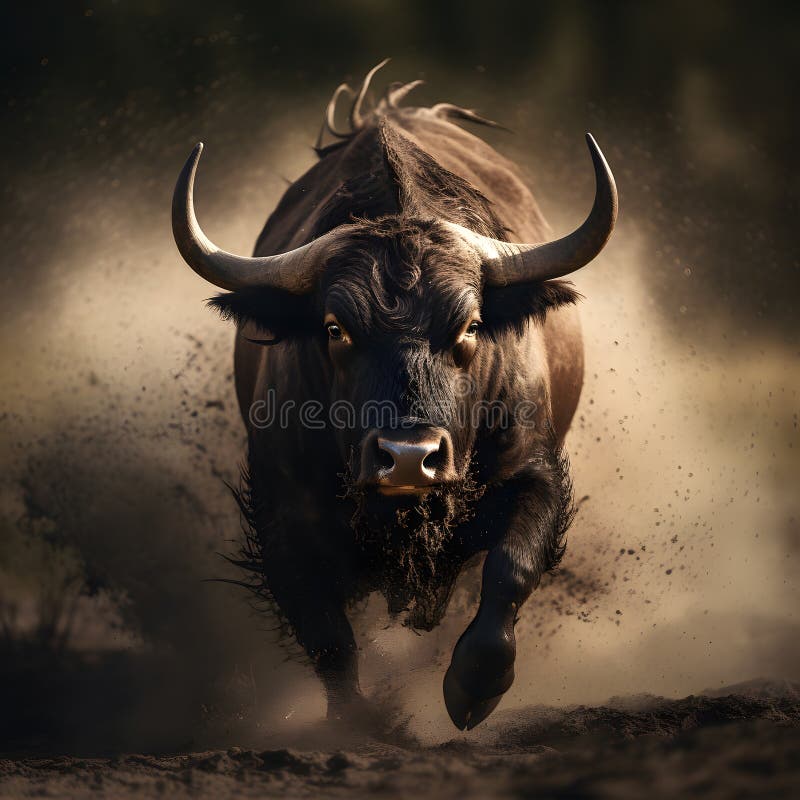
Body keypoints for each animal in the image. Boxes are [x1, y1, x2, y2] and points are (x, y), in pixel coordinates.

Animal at [172, 62, 617, 731]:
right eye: (335, 329)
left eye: (471, 326)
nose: (410, 459)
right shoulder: (280, 511)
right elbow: (326, 633)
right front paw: (359, 722)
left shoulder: (534, 473)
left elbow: (510, 569)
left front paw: (473, 688)